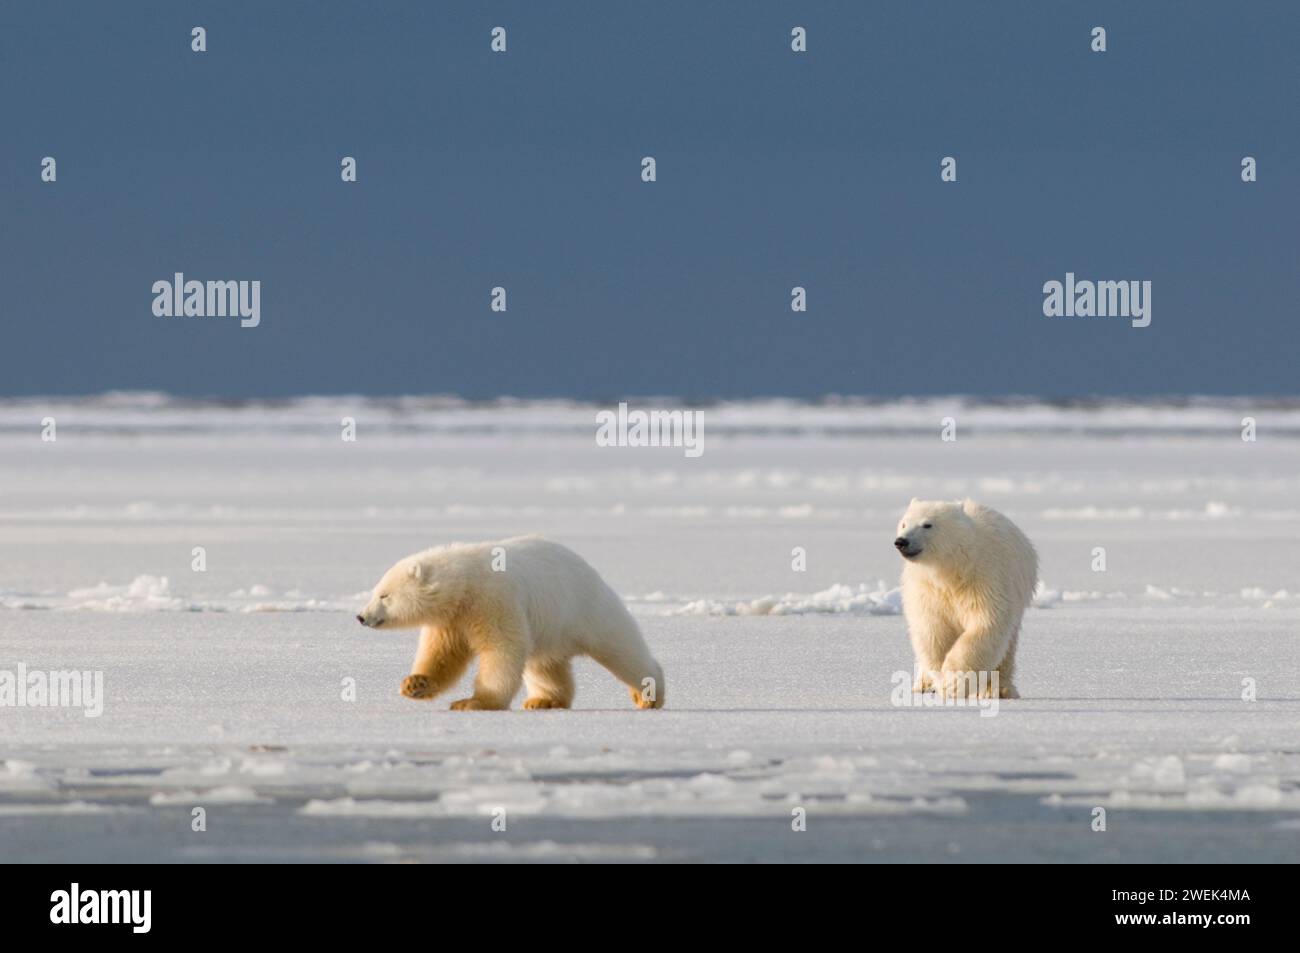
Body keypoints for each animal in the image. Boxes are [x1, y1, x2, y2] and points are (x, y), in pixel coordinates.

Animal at [356, 535, 665, 711]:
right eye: (375, 591)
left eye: (384, 595)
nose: (361, 617)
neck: (464, 584)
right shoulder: (451, 619)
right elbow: (443, 655)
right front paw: (414, 684)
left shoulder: (493, 600)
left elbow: (502, 650)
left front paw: (473, 702)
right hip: (550, 630)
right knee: (544, 664)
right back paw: (544, 700)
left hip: (585, 608)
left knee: (621, 649)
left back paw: (649, 694)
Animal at [894, 498, 1037, 699]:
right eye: (904, 524)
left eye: (927, 524)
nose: (901, 541)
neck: (951, 572)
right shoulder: (927, 591)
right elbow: (933, 631)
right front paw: (940, 681)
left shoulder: (985, 581)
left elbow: (984, 626)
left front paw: (953, 683)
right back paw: (921, 685)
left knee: (1006, 650)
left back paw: (998, 689)